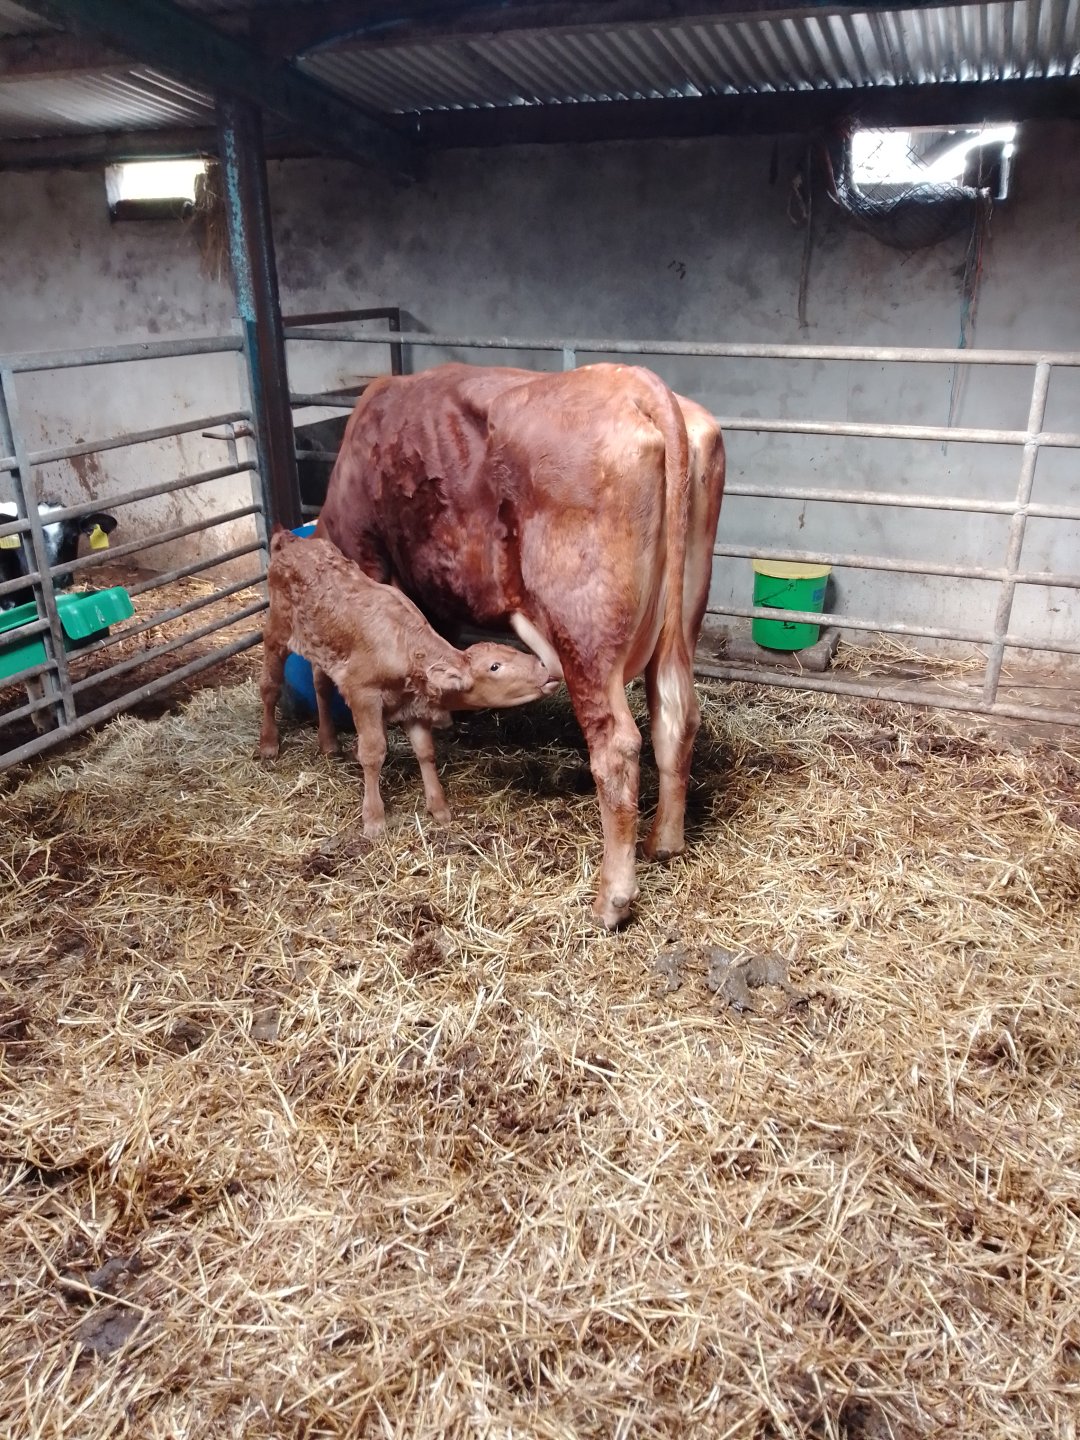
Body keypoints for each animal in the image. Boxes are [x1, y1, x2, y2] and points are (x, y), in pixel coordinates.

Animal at [259, 527, 560, 838]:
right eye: (495, 666)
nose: (544, 670)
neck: (406, 647)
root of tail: (292, 540)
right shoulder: (363, 693)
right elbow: (372, 751)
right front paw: (374, 818)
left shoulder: (412, 705)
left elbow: (426, 751)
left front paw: (439, 808)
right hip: (277, 630)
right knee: (270, 686)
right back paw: (268, 743)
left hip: (322, 644)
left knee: (321, 685)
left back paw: (329, 742)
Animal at [314, 362, 725, 928]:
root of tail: (633, 382)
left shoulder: (370, 555)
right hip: (681, 619)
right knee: (675, 715)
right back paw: (663, 842)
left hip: (586, 634)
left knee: (617, 746)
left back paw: (611, 899)